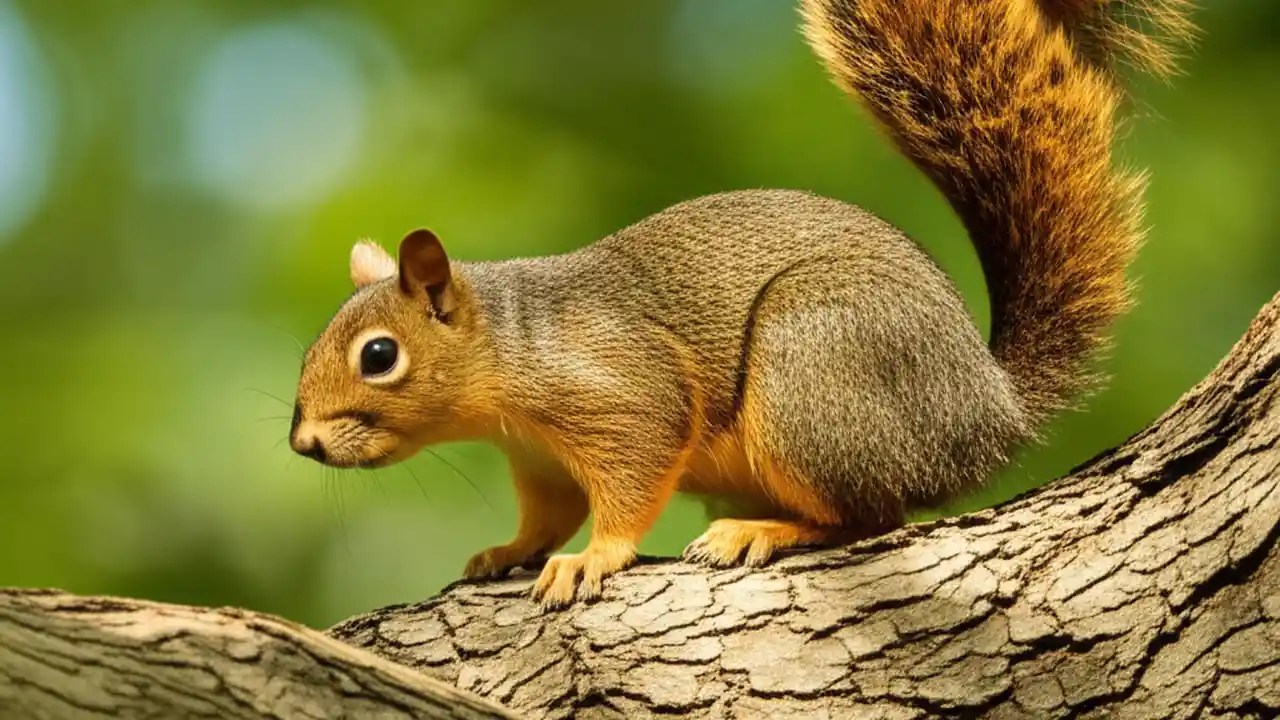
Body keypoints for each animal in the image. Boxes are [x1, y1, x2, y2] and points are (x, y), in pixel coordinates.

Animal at [290, 0, 1194, 608]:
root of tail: (987, 407)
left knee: (875, 518)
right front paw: (509, 549)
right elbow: (547, 513)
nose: (302, 444)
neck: (511, 350)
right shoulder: (538, 459)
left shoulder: (626, 392)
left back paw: (763, 532)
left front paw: (594, 557)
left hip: (815, 374)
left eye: (379, 356)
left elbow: (632, 478)